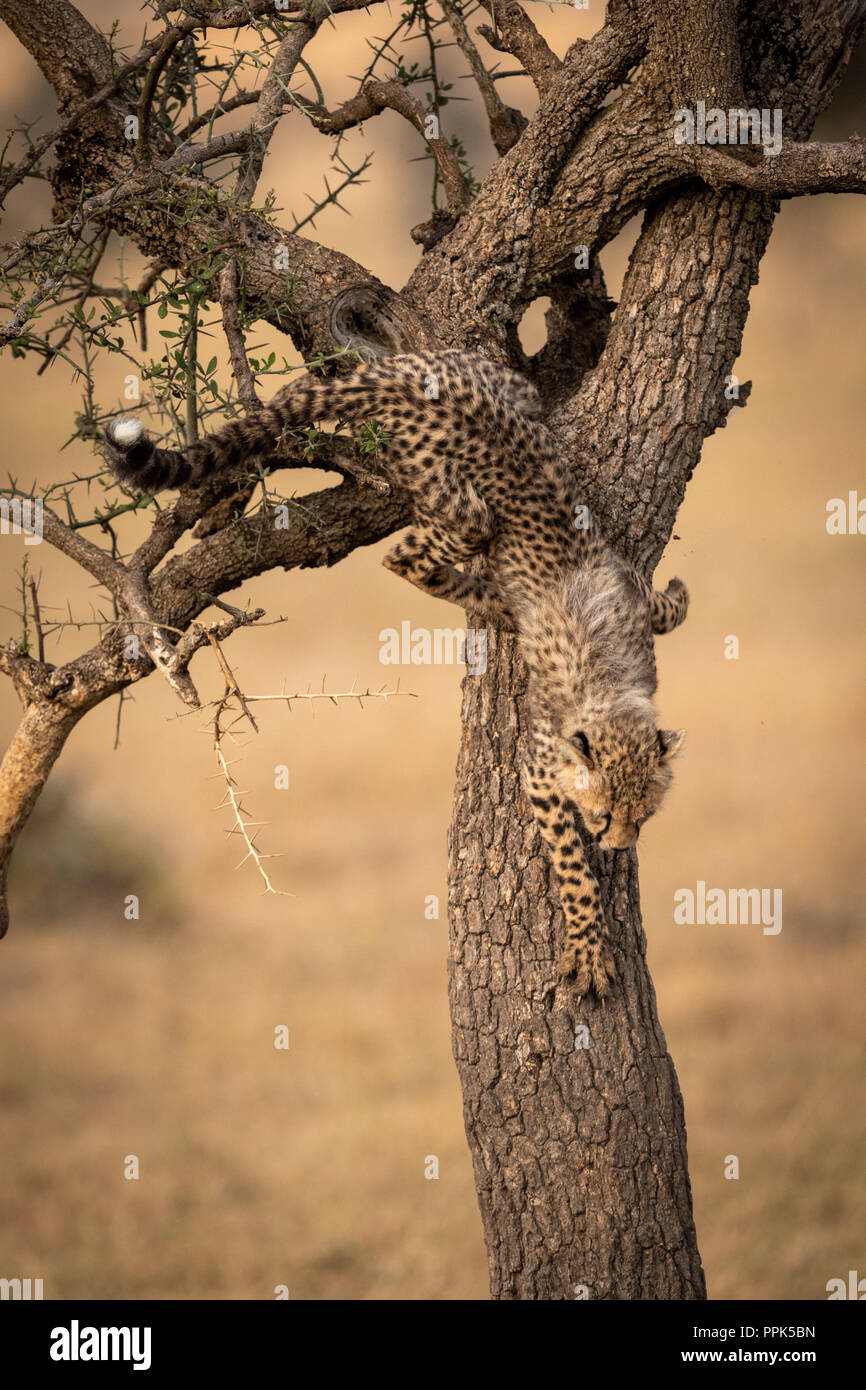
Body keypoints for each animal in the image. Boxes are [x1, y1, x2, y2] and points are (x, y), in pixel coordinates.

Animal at [103, 350, 688, 997]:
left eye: (644, 816)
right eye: (605, 814)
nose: (619, 844)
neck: (610, 689)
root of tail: (399, 379)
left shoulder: (627, 602)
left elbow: (661, 610)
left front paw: (674, 597)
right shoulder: (540, 765)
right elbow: (572, 868)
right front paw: (588, 947)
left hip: (502, 387)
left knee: (293, 410)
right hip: (462, 508)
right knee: (404, 554)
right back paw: (494, 599)